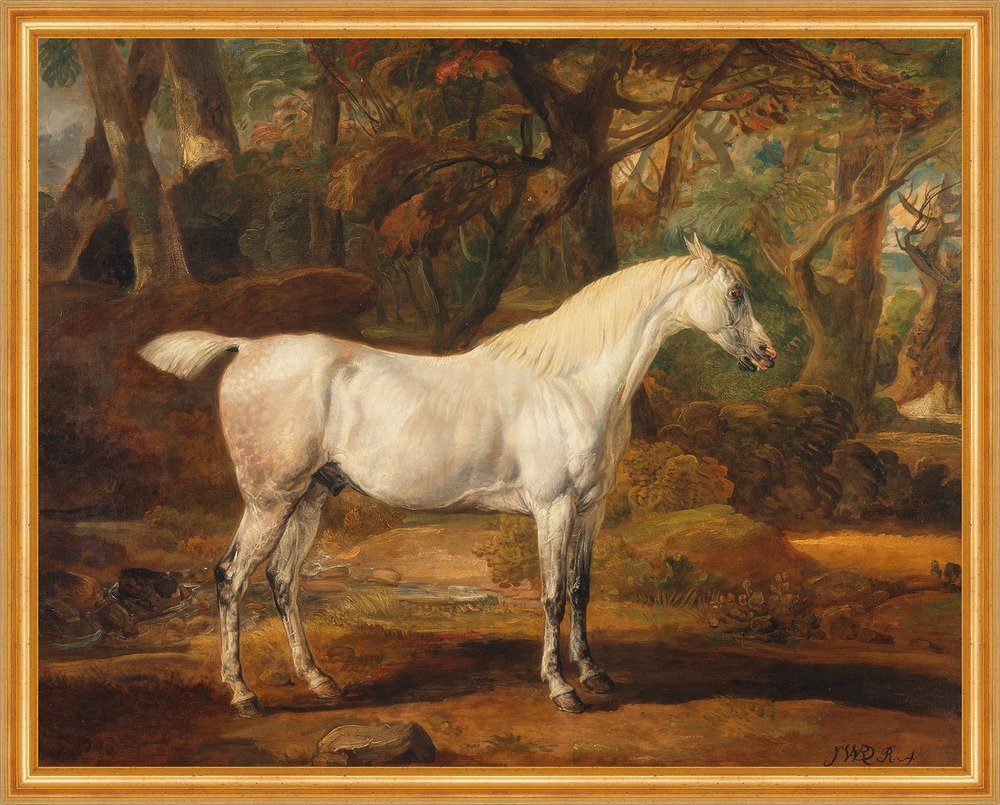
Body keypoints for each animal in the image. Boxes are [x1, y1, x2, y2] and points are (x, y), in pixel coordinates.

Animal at [139, 234, 777, 716]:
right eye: (736, 294)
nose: (768, 356)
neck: (570, 384)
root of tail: (244, 347)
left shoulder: (591, 508)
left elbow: (580, 588)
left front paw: (594, 675)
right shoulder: (554, 507)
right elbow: (551, 595)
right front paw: (562, 689)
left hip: (311, 497)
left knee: (282, 580)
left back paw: (319, 681)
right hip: (271, 499)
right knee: (232, 577)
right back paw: (243, 694)